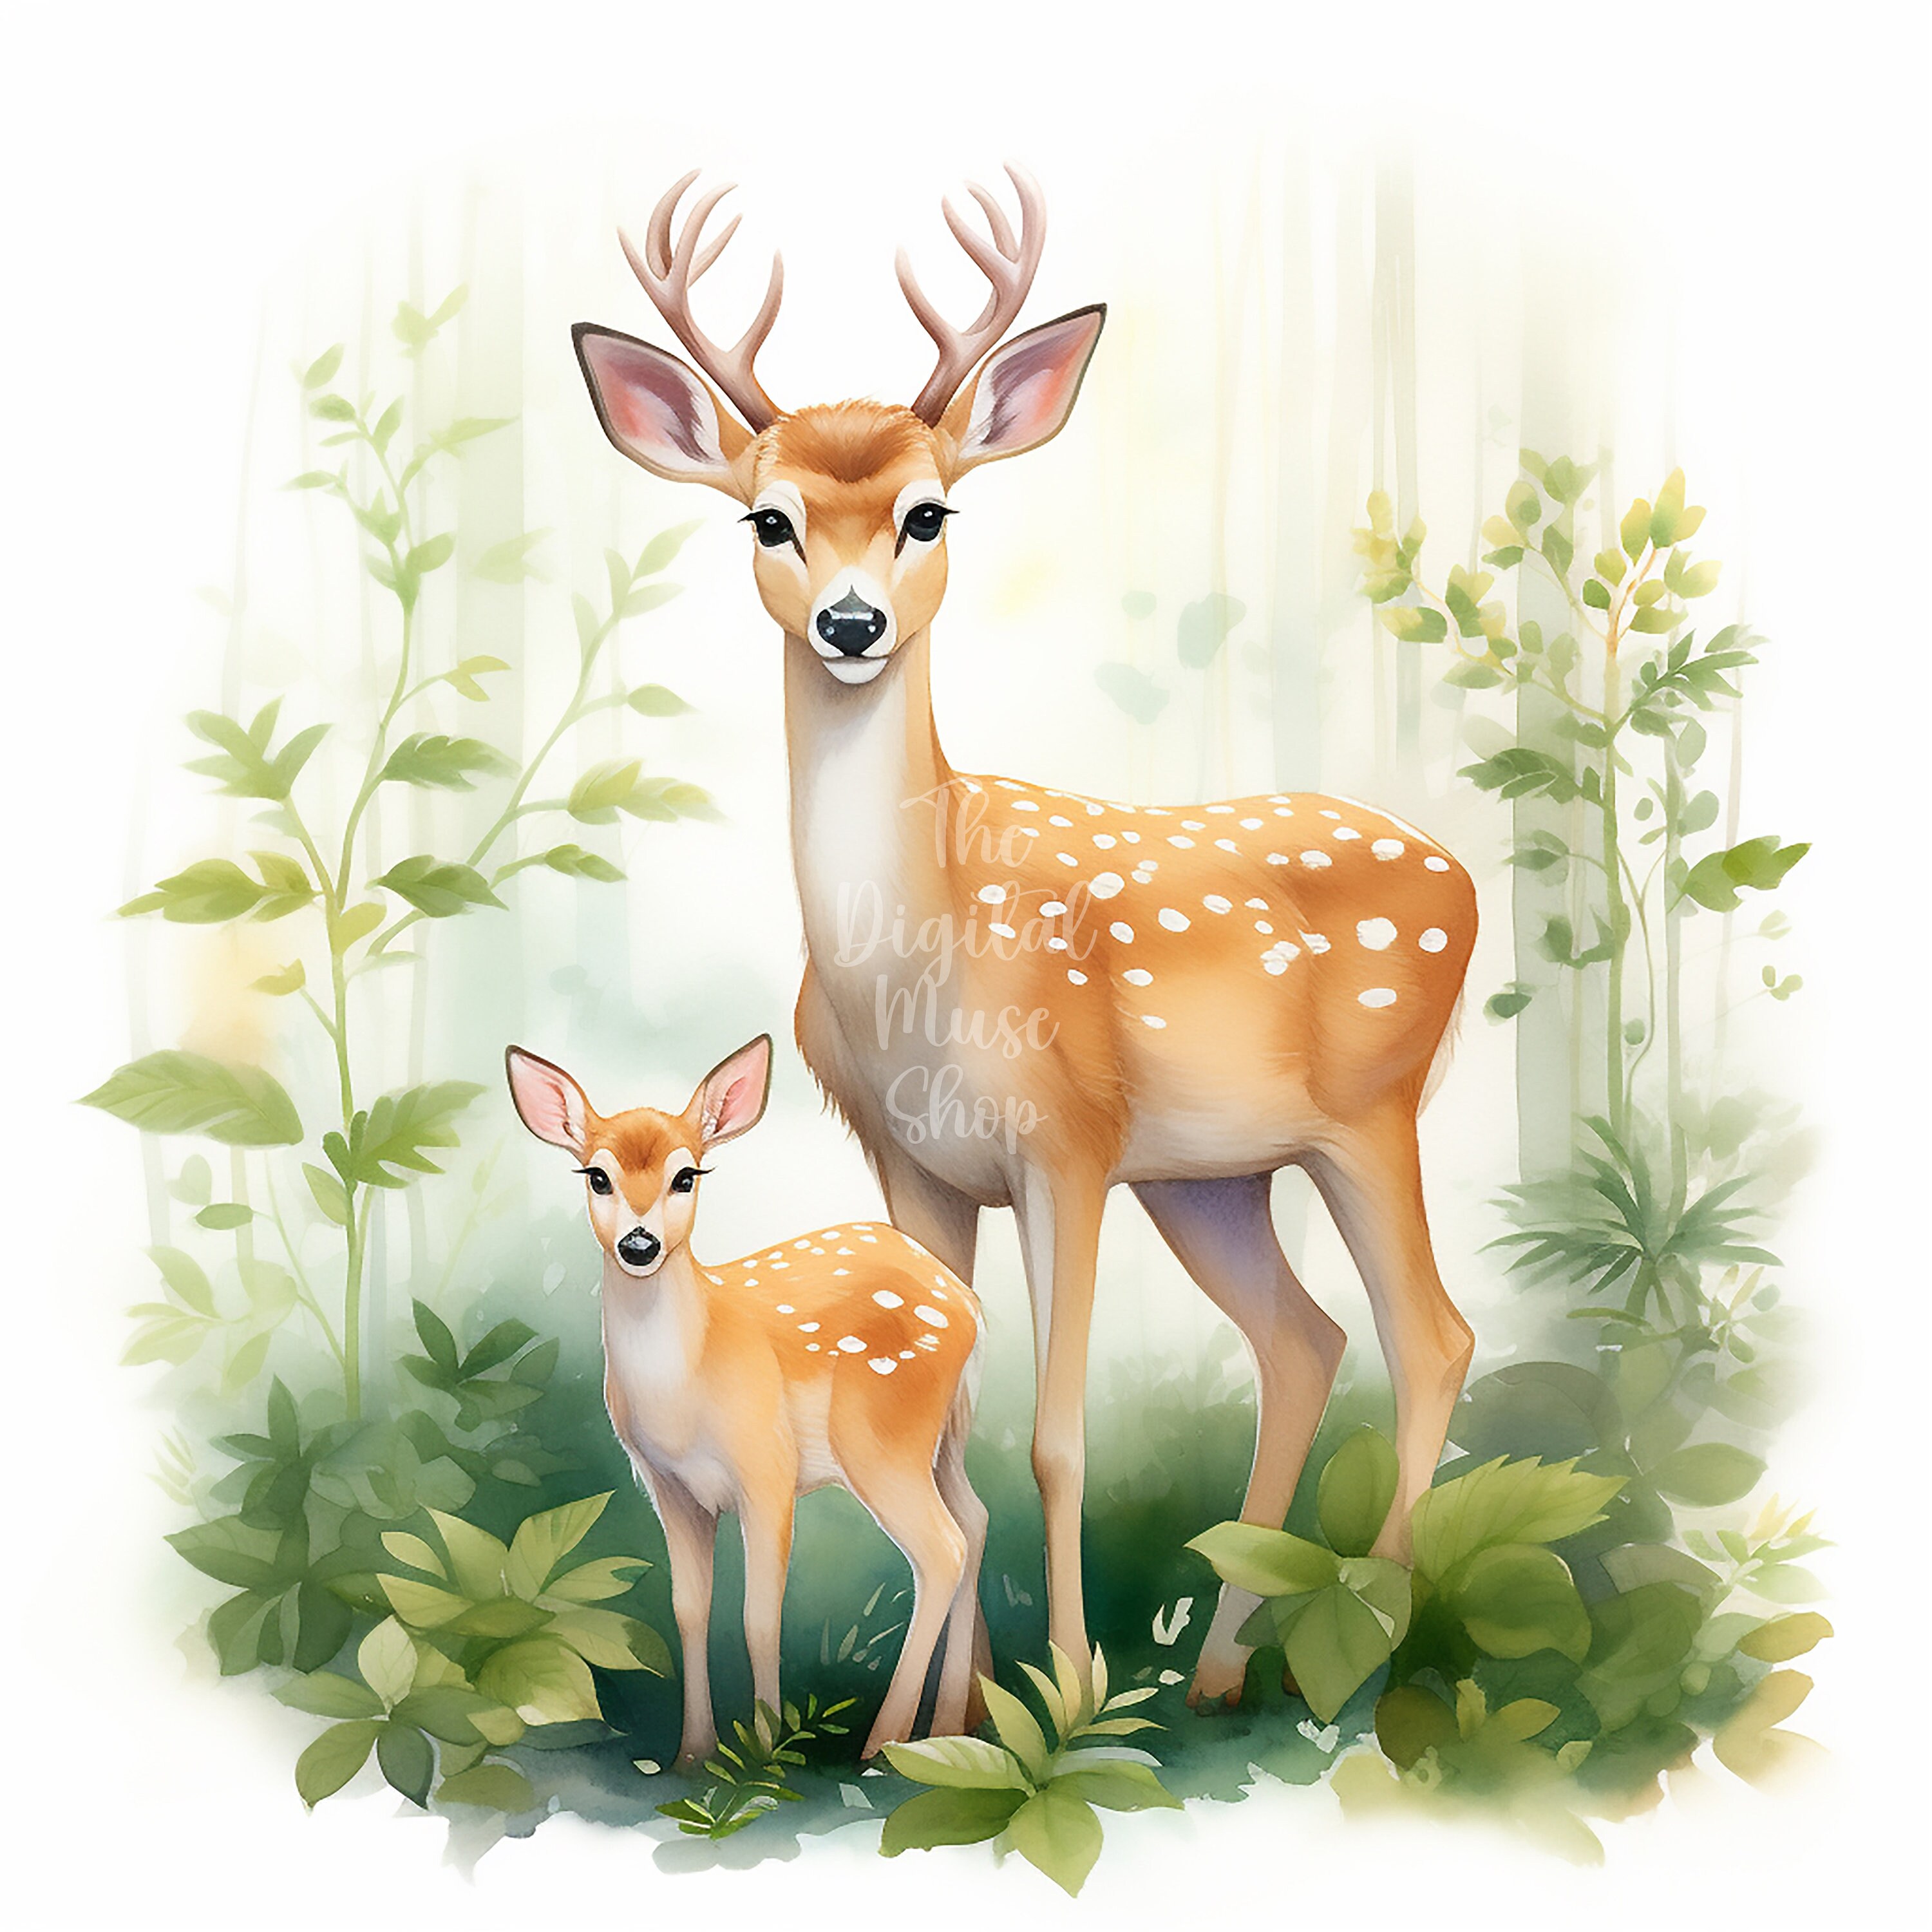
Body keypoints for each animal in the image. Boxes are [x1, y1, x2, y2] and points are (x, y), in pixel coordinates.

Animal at [505, 1034, 988, 1765]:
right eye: (597, 1176)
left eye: (686, 1176)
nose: (639, 1244)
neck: (684, 1390)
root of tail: (969, 1304)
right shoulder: (668, 1486)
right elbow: (690, 1610)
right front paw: (692, 1754)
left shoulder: (768, 1468)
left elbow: (760, 1618)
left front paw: (763, 1753)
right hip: (942, 1439)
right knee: (976, 1519)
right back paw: (945, 1729)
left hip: (881, 1439)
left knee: (942, 1549)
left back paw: (882, 1745)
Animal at [570, 166, 1478, 1712]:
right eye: (769, 521)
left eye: (930, 514)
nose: (852, 622)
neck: (915, 960)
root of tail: (1470, 878)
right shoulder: (913, 1161)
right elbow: (963, 1443)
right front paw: (964, 1713)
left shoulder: (1066, 1140)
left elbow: (1058, 1438)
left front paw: (1065, 1696)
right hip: (1216, 1178)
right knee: (1305, 1343)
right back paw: (1221, 1669)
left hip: (1371, 1110)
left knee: (1431, 1339)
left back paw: (1369, 1652)